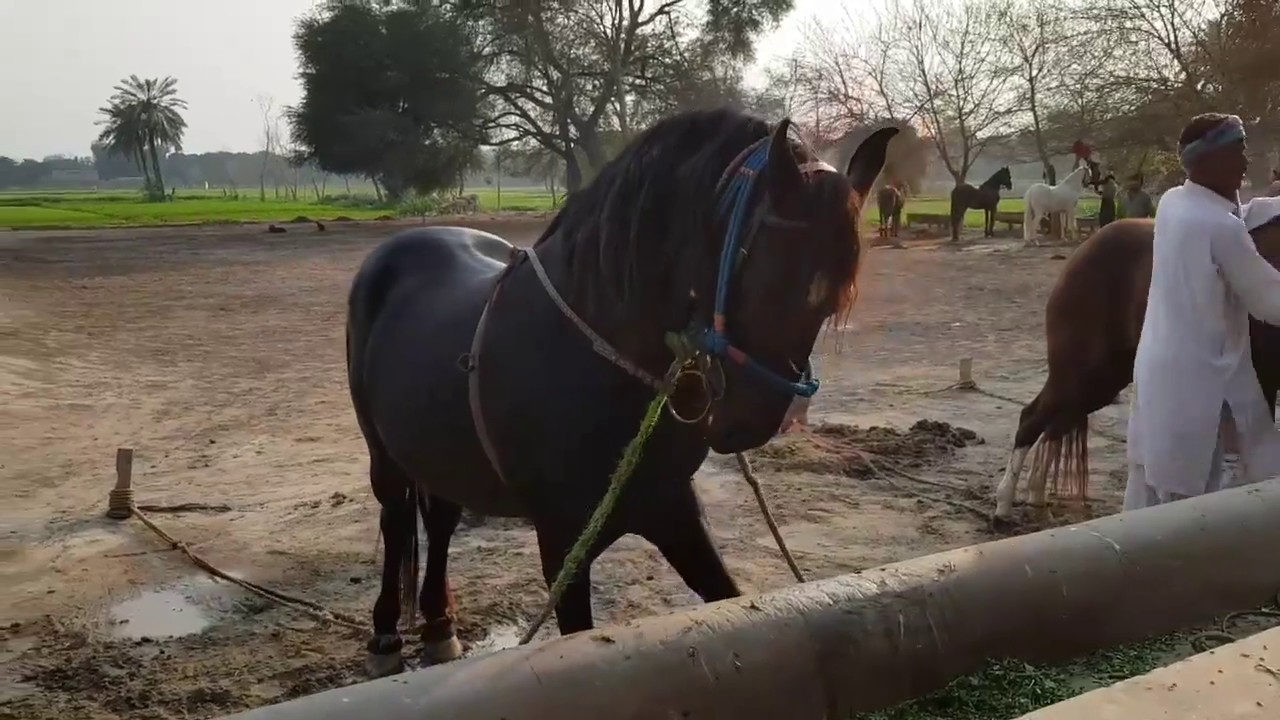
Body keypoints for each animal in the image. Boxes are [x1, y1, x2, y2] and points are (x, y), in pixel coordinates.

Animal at [346, 107, 897, 677]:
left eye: (832, 300)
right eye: (768, 272)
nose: (748, 423)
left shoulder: (673, 509)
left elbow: (728, 598)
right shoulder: (563, 541)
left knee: (442, 520)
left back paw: (439, 626)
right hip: (384, 455)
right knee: (395, 520)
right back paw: (386, 637)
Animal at [992, 215, 1280, 525]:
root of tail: (1083, 252)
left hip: (1101, 380)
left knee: (1052, 426)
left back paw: (1034, 493)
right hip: (1083, 376)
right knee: (1031, 419)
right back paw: (1003, 506)